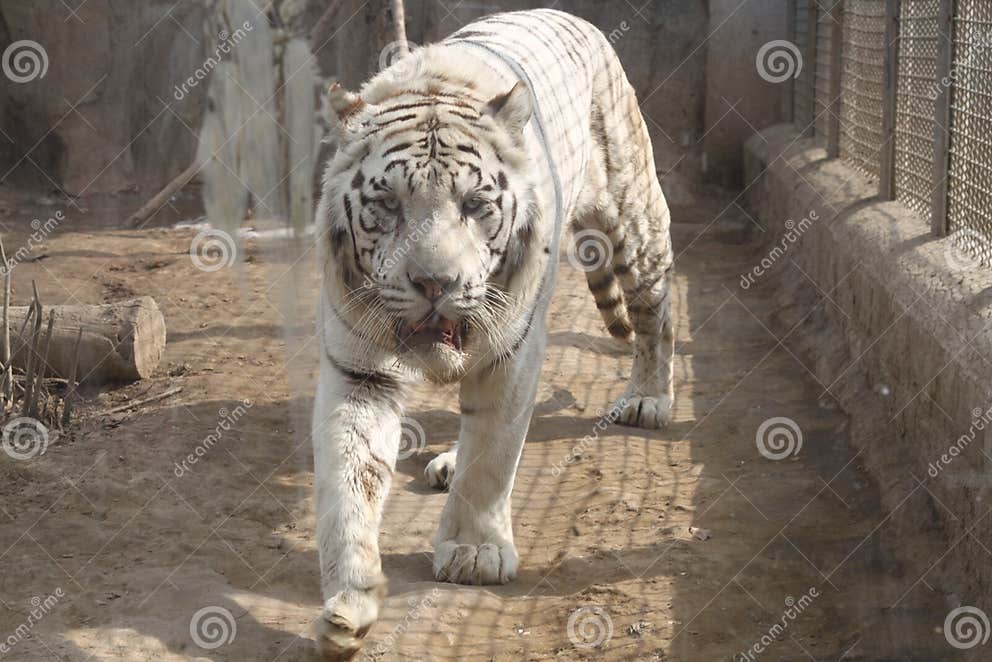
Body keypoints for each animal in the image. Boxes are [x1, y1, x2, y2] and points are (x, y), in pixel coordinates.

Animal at [311, 8, 674, 658]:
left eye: (475, 204)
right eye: (387, 203)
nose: (435, 281)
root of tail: (568, 15)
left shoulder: (513, 350)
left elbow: (494, 454)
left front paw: (475, 554)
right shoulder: (358, 369)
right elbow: (348, 476)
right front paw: (349, 602)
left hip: (633, 218)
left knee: (656, 309)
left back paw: (649, 398)